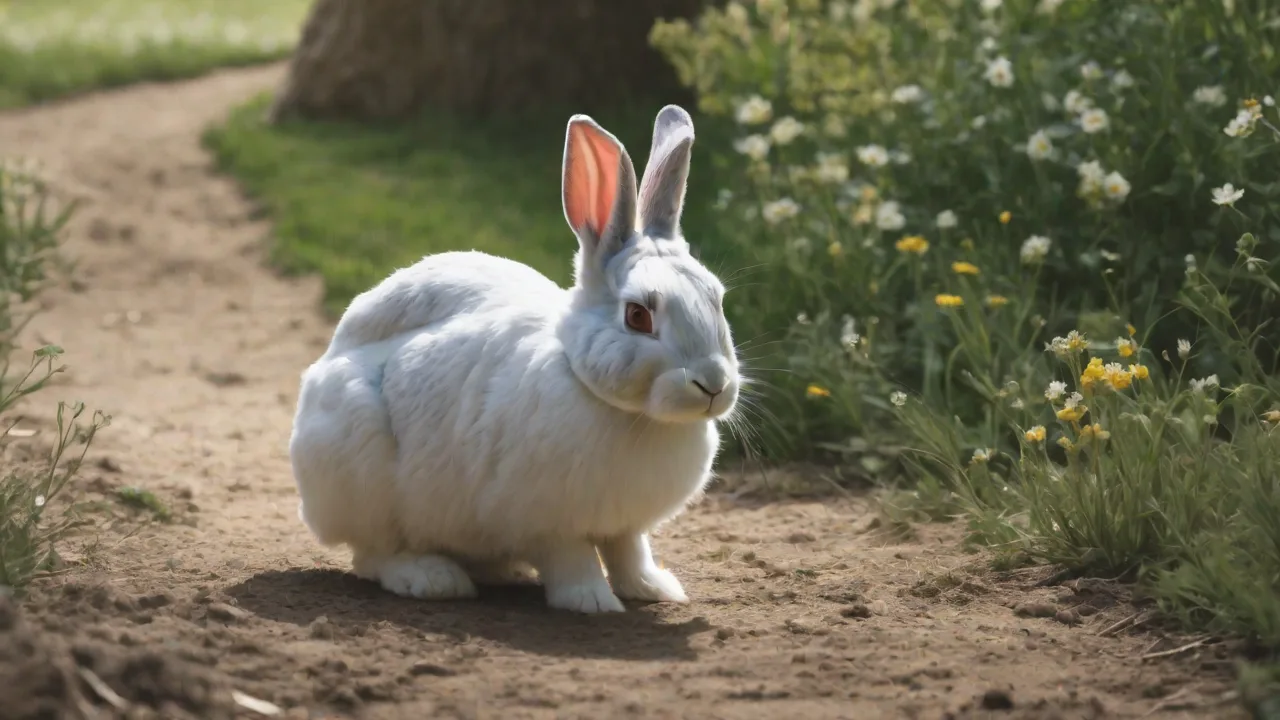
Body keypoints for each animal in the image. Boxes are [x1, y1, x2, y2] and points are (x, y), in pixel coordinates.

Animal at [288, 104, 740, 614]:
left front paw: (655, 588)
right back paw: (432, 578)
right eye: (638, 315)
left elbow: (628, 553)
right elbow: (573, 558)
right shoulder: (546, 521)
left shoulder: (624, 526)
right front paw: (591, 601)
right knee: (372, 554)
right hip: (361, 474)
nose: (713, 384)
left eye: (717, 298)